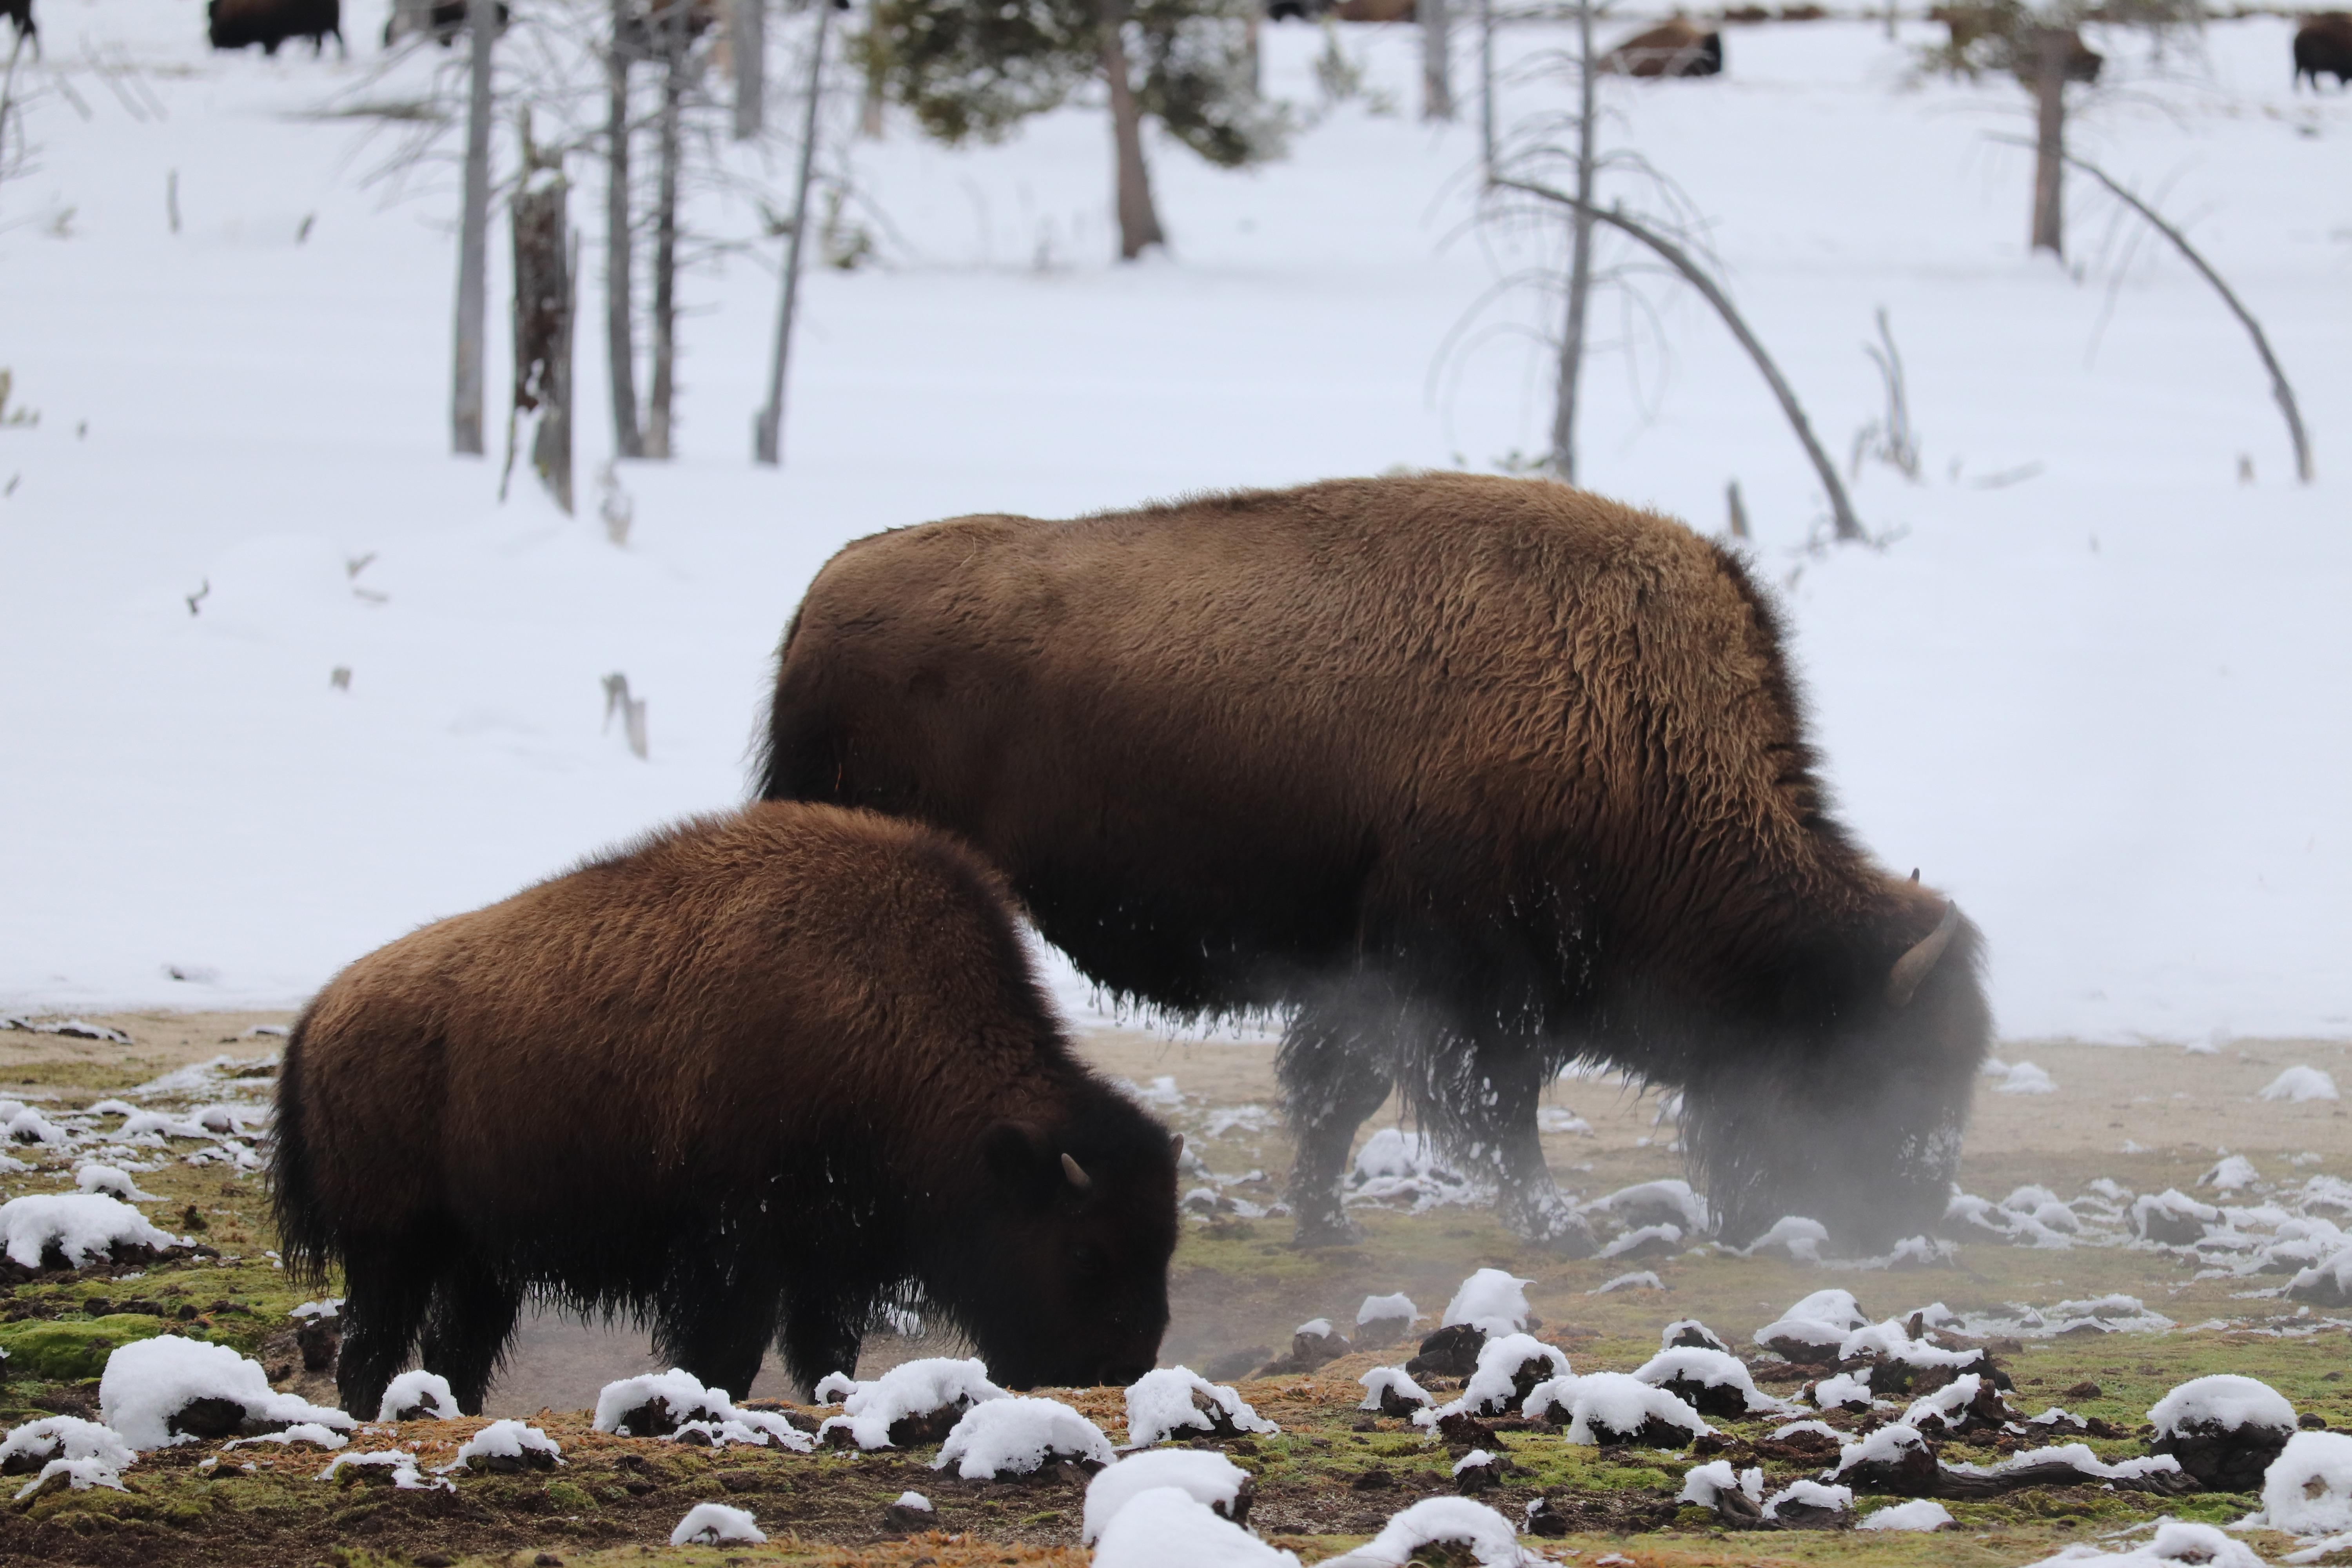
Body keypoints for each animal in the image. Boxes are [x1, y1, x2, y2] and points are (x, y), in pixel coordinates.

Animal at [208, 0, 342, 56]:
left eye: (214, 23)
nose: (213, 43)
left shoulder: (271, 38)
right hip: (324, 28)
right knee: (323, 43)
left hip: (330, 26)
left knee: (336, 41)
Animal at [272, 802, 1180, 1417]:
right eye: (1085, 1251)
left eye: (1161, 1247)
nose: (1118, 1368)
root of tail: (321, 1014)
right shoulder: (736, 1251)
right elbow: (729, 1354)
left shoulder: (828, 1263)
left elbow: (823, 1351)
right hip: (395, 1246)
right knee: (371, 1351)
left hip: (481, 1260)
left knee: (454, 1351)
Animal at [760, 474, 1989, 1253]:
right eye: (1880, 1070)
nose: (1902, 1219)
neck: (1626, 717)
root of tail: (826, 593)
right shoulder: (1466, 977)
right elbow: (1494, 1110)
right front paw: (1558, 1228)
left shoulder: (1361, 970)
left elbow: (1335, 1094)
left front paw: (1326, 1224)